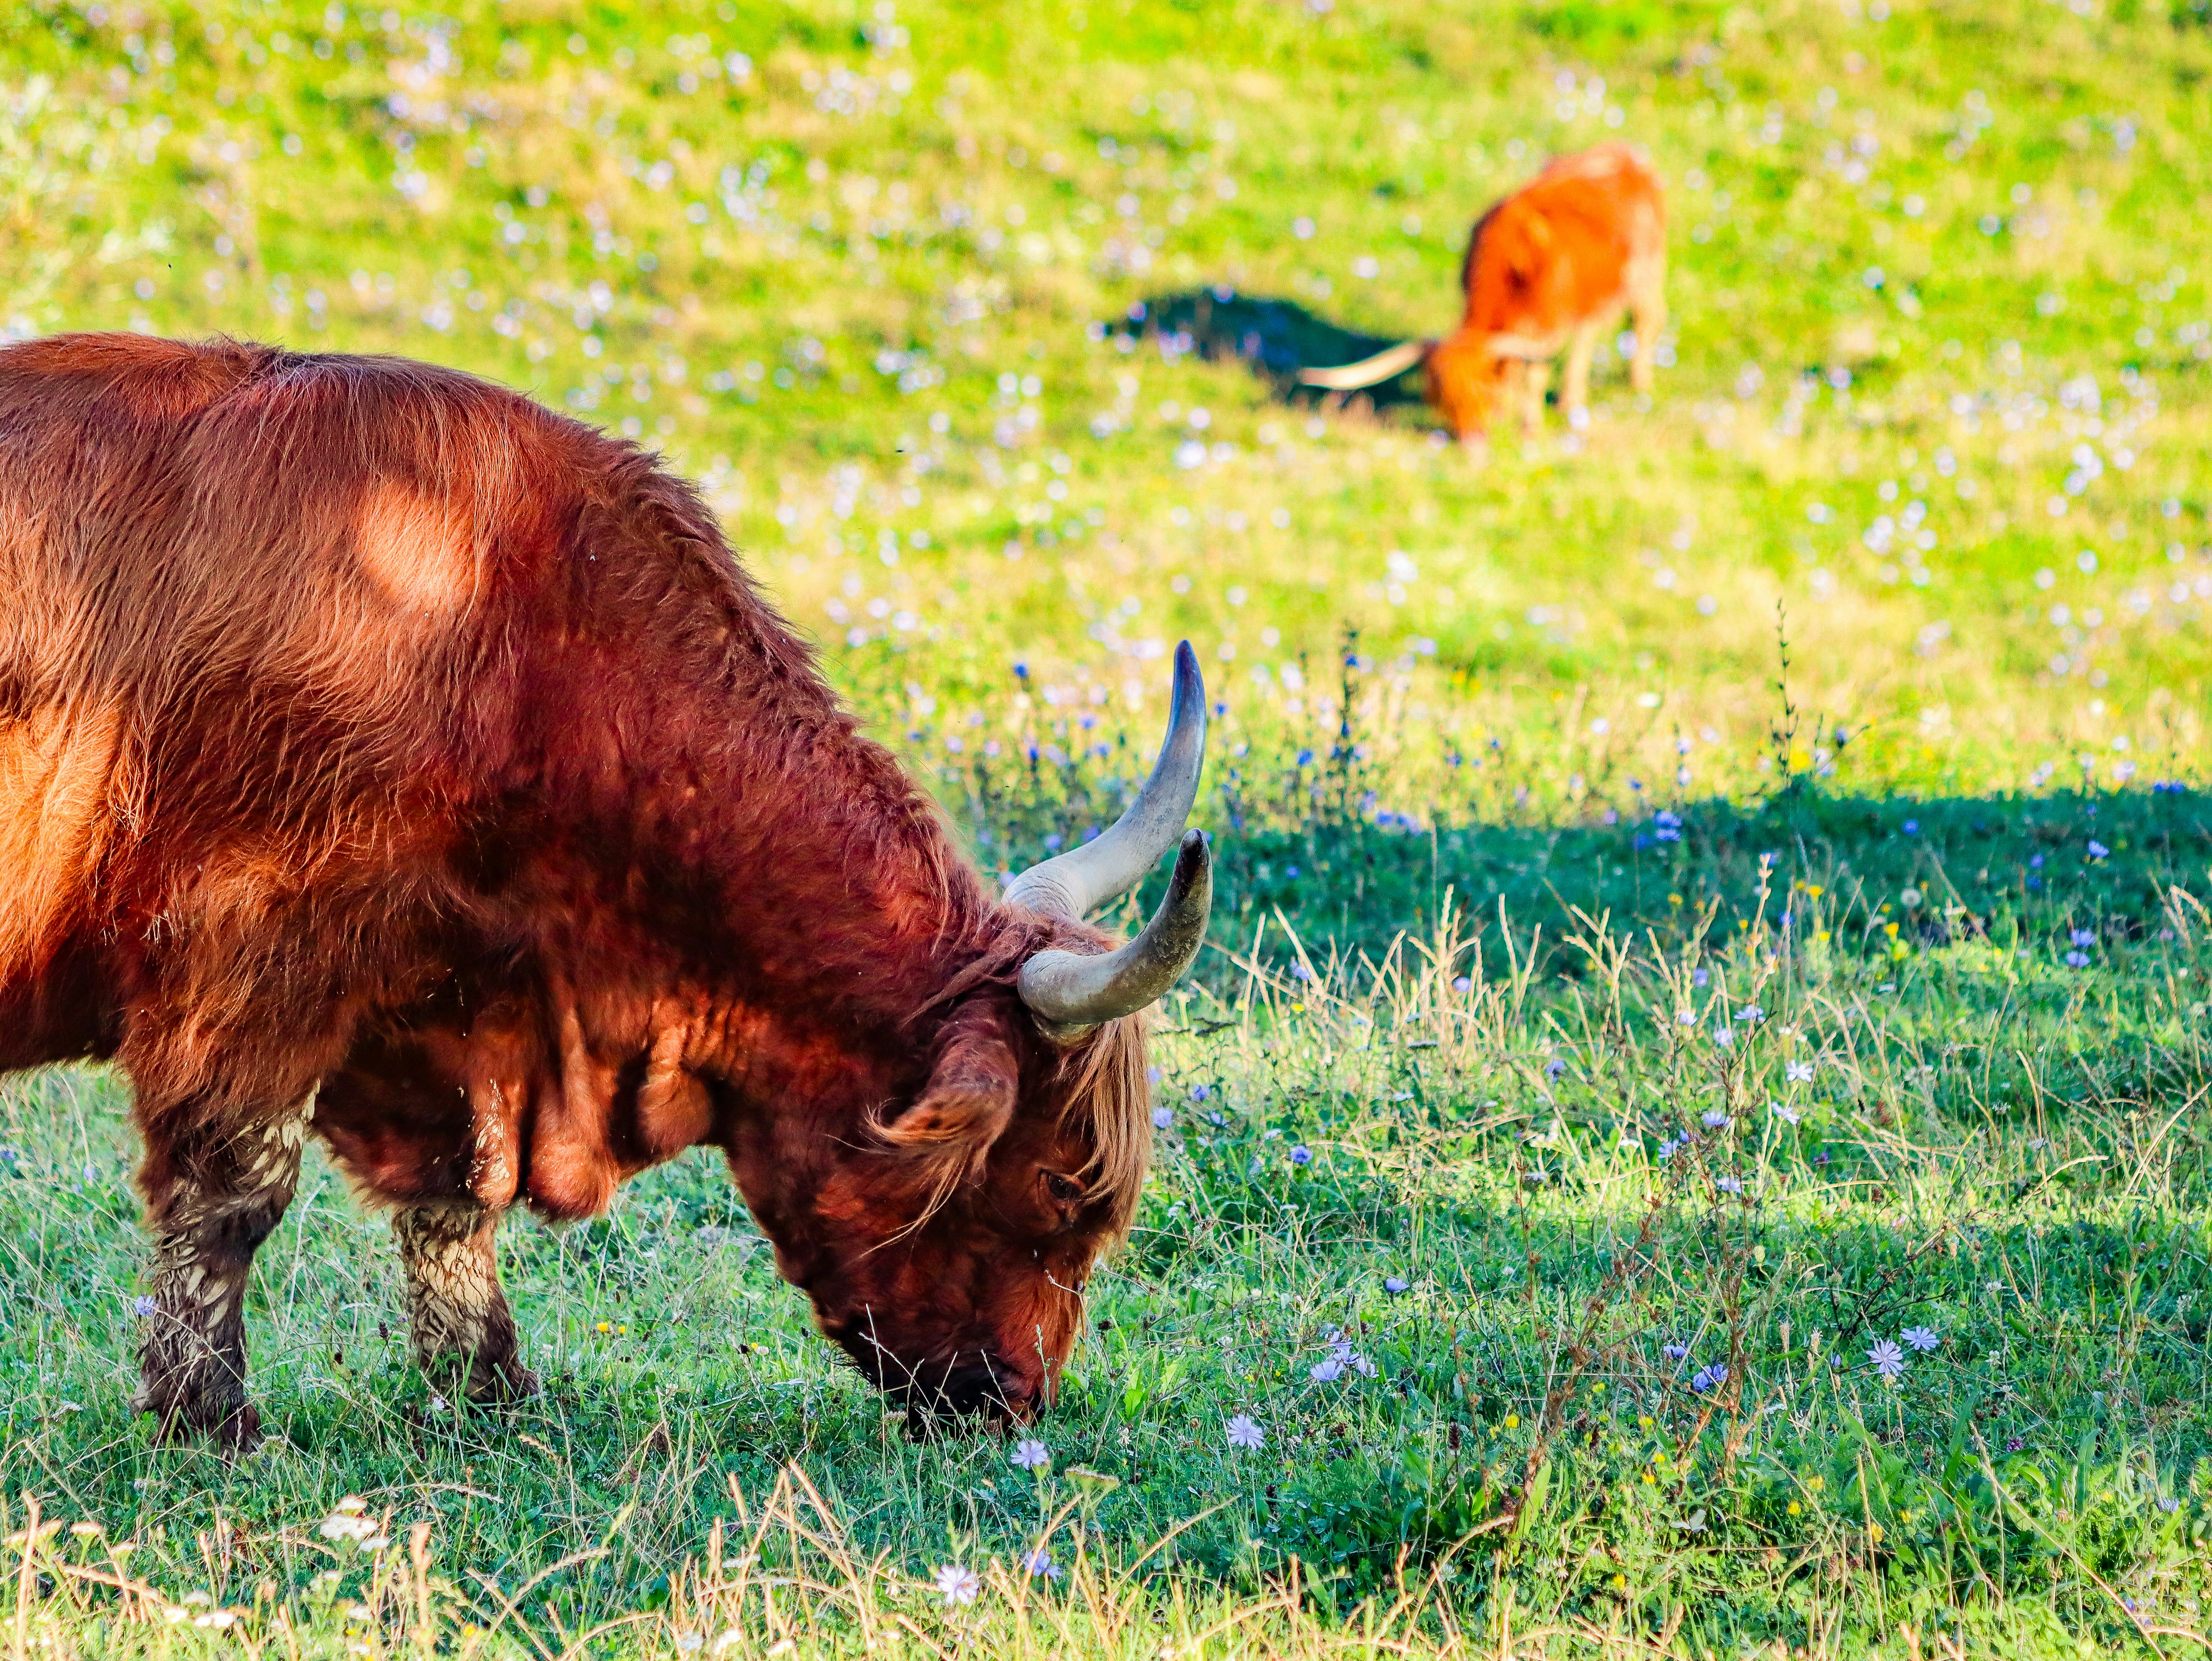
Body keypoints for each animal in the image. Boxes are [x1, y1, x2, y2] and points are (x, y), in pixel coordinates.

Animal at [0, 332, 1215, 1452]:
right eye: (1058, 1188)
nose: (1016, 1406)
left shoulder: (446, 1000)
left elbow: (456, 1191)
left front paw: (490, 1390)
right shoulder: (250, 963)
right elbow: (234, 1193)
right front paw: (210, 1419)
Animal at [1300, 143, 1667, 445]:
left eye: (1485, 396)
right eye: (1443, 401)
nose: (1471, 440)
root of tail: (1627, 153)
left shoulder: (1548, 322)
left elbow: (1534, 375)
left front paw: (1529, 427)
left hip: (1645, 276)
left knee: (1643, 321)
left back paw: (1638, 384)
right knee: (1587, 336)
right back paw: (1571, 400)